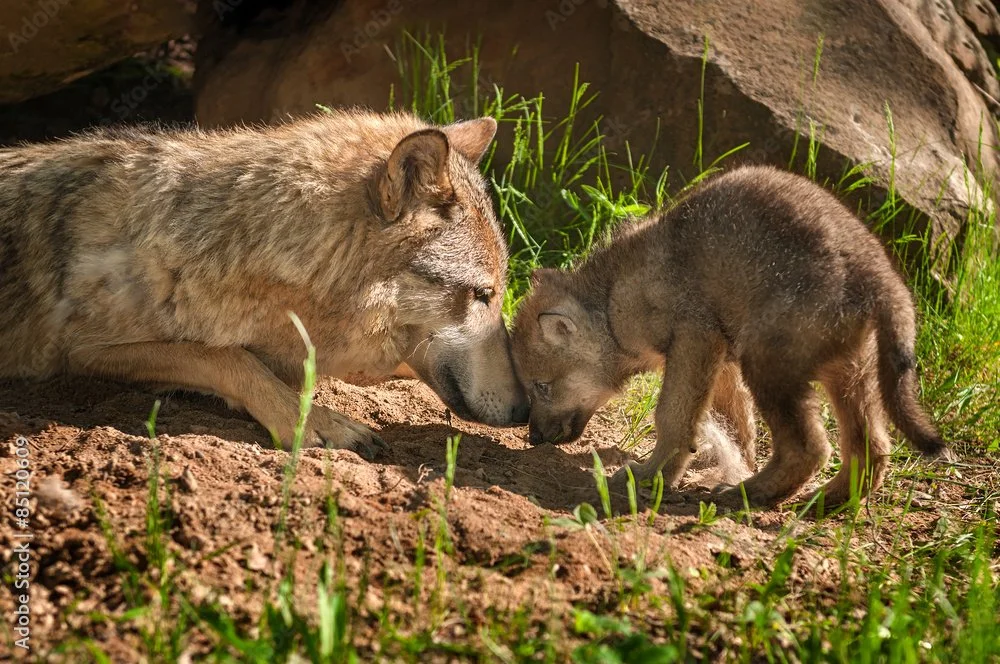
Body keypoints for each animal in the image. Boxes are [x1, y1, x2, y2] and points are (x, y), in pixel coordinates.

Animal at [0, 110, 529, 459]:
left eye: (499, 294)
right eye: (482, 294)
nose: (525, 410)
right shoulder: (85, 351)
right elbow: (227, 357)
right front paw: (318, 422)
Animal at [511, 165, 952, 507]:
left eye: (541, 386)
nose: (533, 438)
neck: (613, 297)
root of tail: (879, 279)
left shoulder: (695, 339)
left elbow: (673, 418)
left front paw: (652, 476)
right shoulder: (720, 357)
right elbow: (737, 425)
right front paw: (728, 461)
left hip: (769, 366)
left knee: (810, 448)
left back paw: (748, 493)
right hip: (848, 375)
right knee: (871, 449)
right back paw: (822, 502)